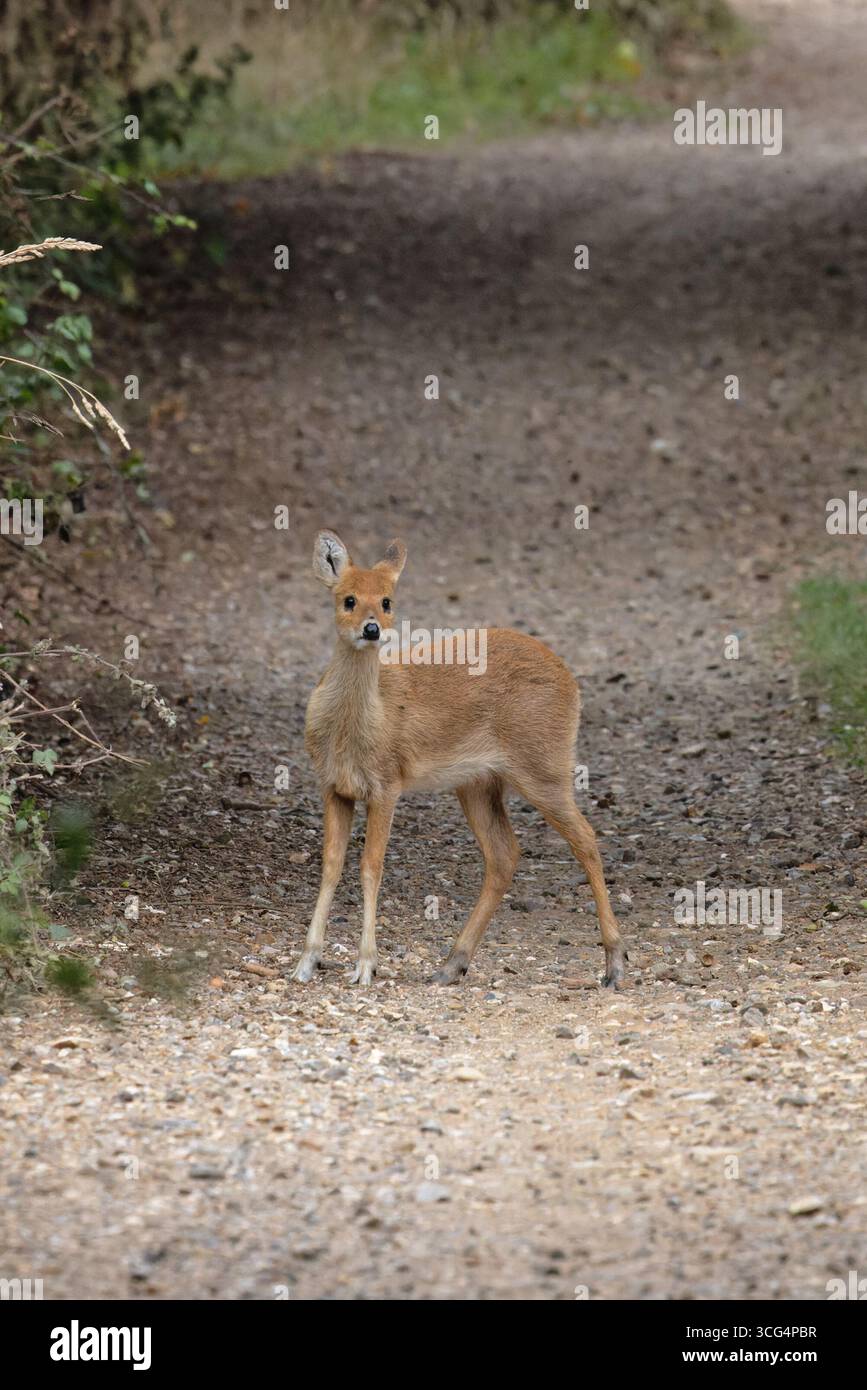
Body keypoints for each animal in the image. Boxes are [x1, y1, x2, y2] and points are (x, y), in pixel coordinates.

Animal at [292, 530, 626, 990]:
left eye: (387, 600)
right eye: (348, 599)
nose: (372, 629)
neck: (359, 725)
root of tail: (570, 679)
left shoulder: (388, 783)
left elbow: (371, 866)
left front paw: (365, 965)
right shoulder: (333, 785)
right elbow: (330, 865)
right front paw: (306, 962)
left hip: (545, 765)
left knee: (587, 839)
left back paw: (614, 963)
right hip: (478, 783)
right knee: (505, 854)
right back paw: (452, 963)